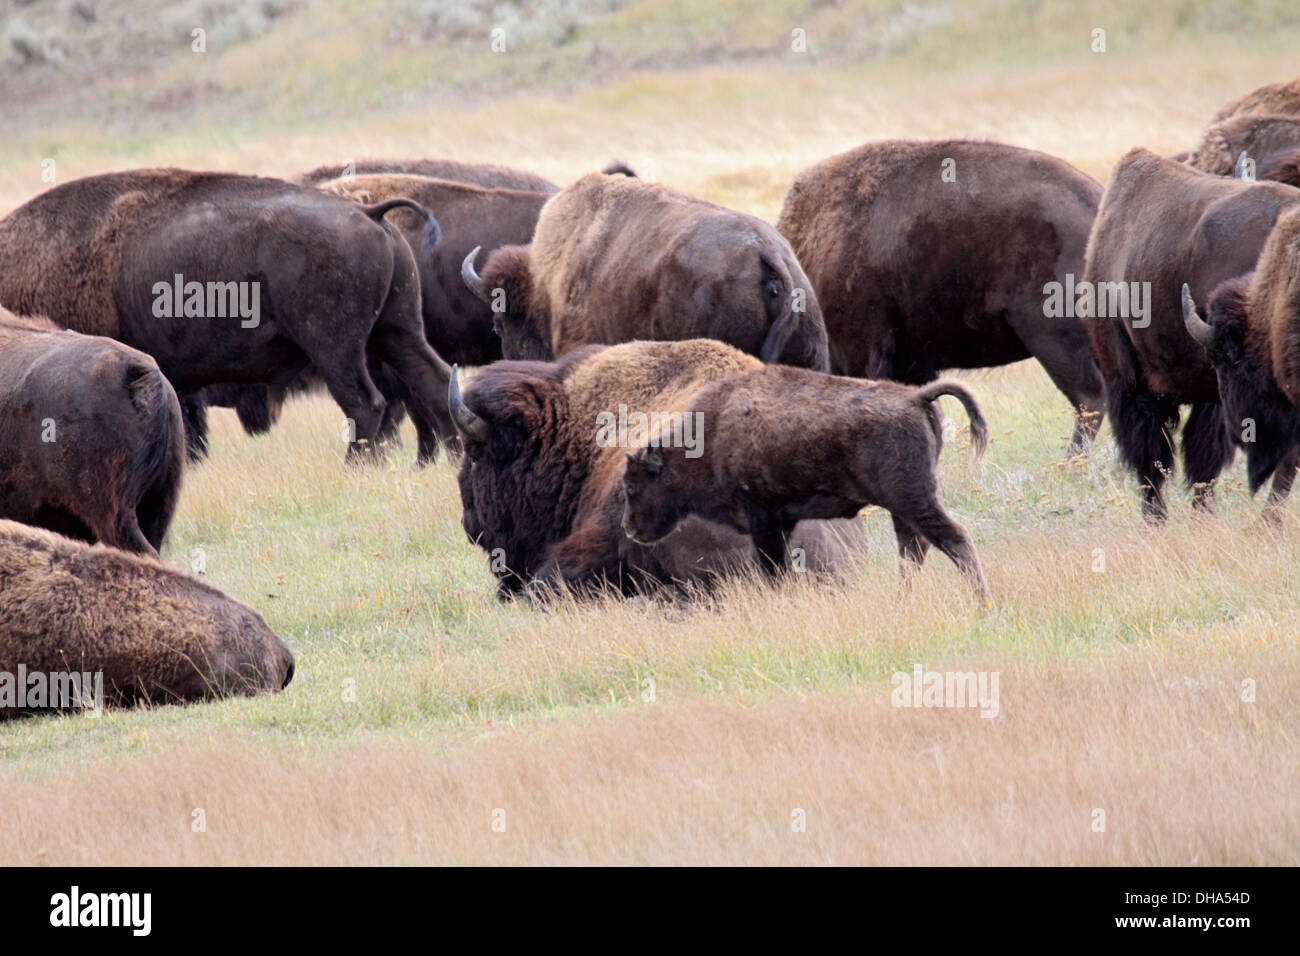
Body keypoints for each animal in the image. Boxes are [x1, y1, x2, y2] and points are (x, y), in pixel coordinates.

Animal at [0, 169, 455, 464]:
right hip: (398, 329)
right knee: (434, 382)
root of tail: (367, 213)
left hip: (334, 347)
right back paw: (450, 458)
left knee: (365, 402)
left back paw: (355, 468)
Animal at [620, 368, 991, 603]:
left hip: (912, 499)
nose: (628, 528)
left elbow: (773, 571)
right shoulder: (782, 522)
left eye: (632, 486)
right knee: (914, 551)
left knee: (954, 539)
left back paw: (982, 604)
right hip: (902, 507)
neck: (710, 436)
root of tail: (915, 398)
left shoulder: (764, 518)